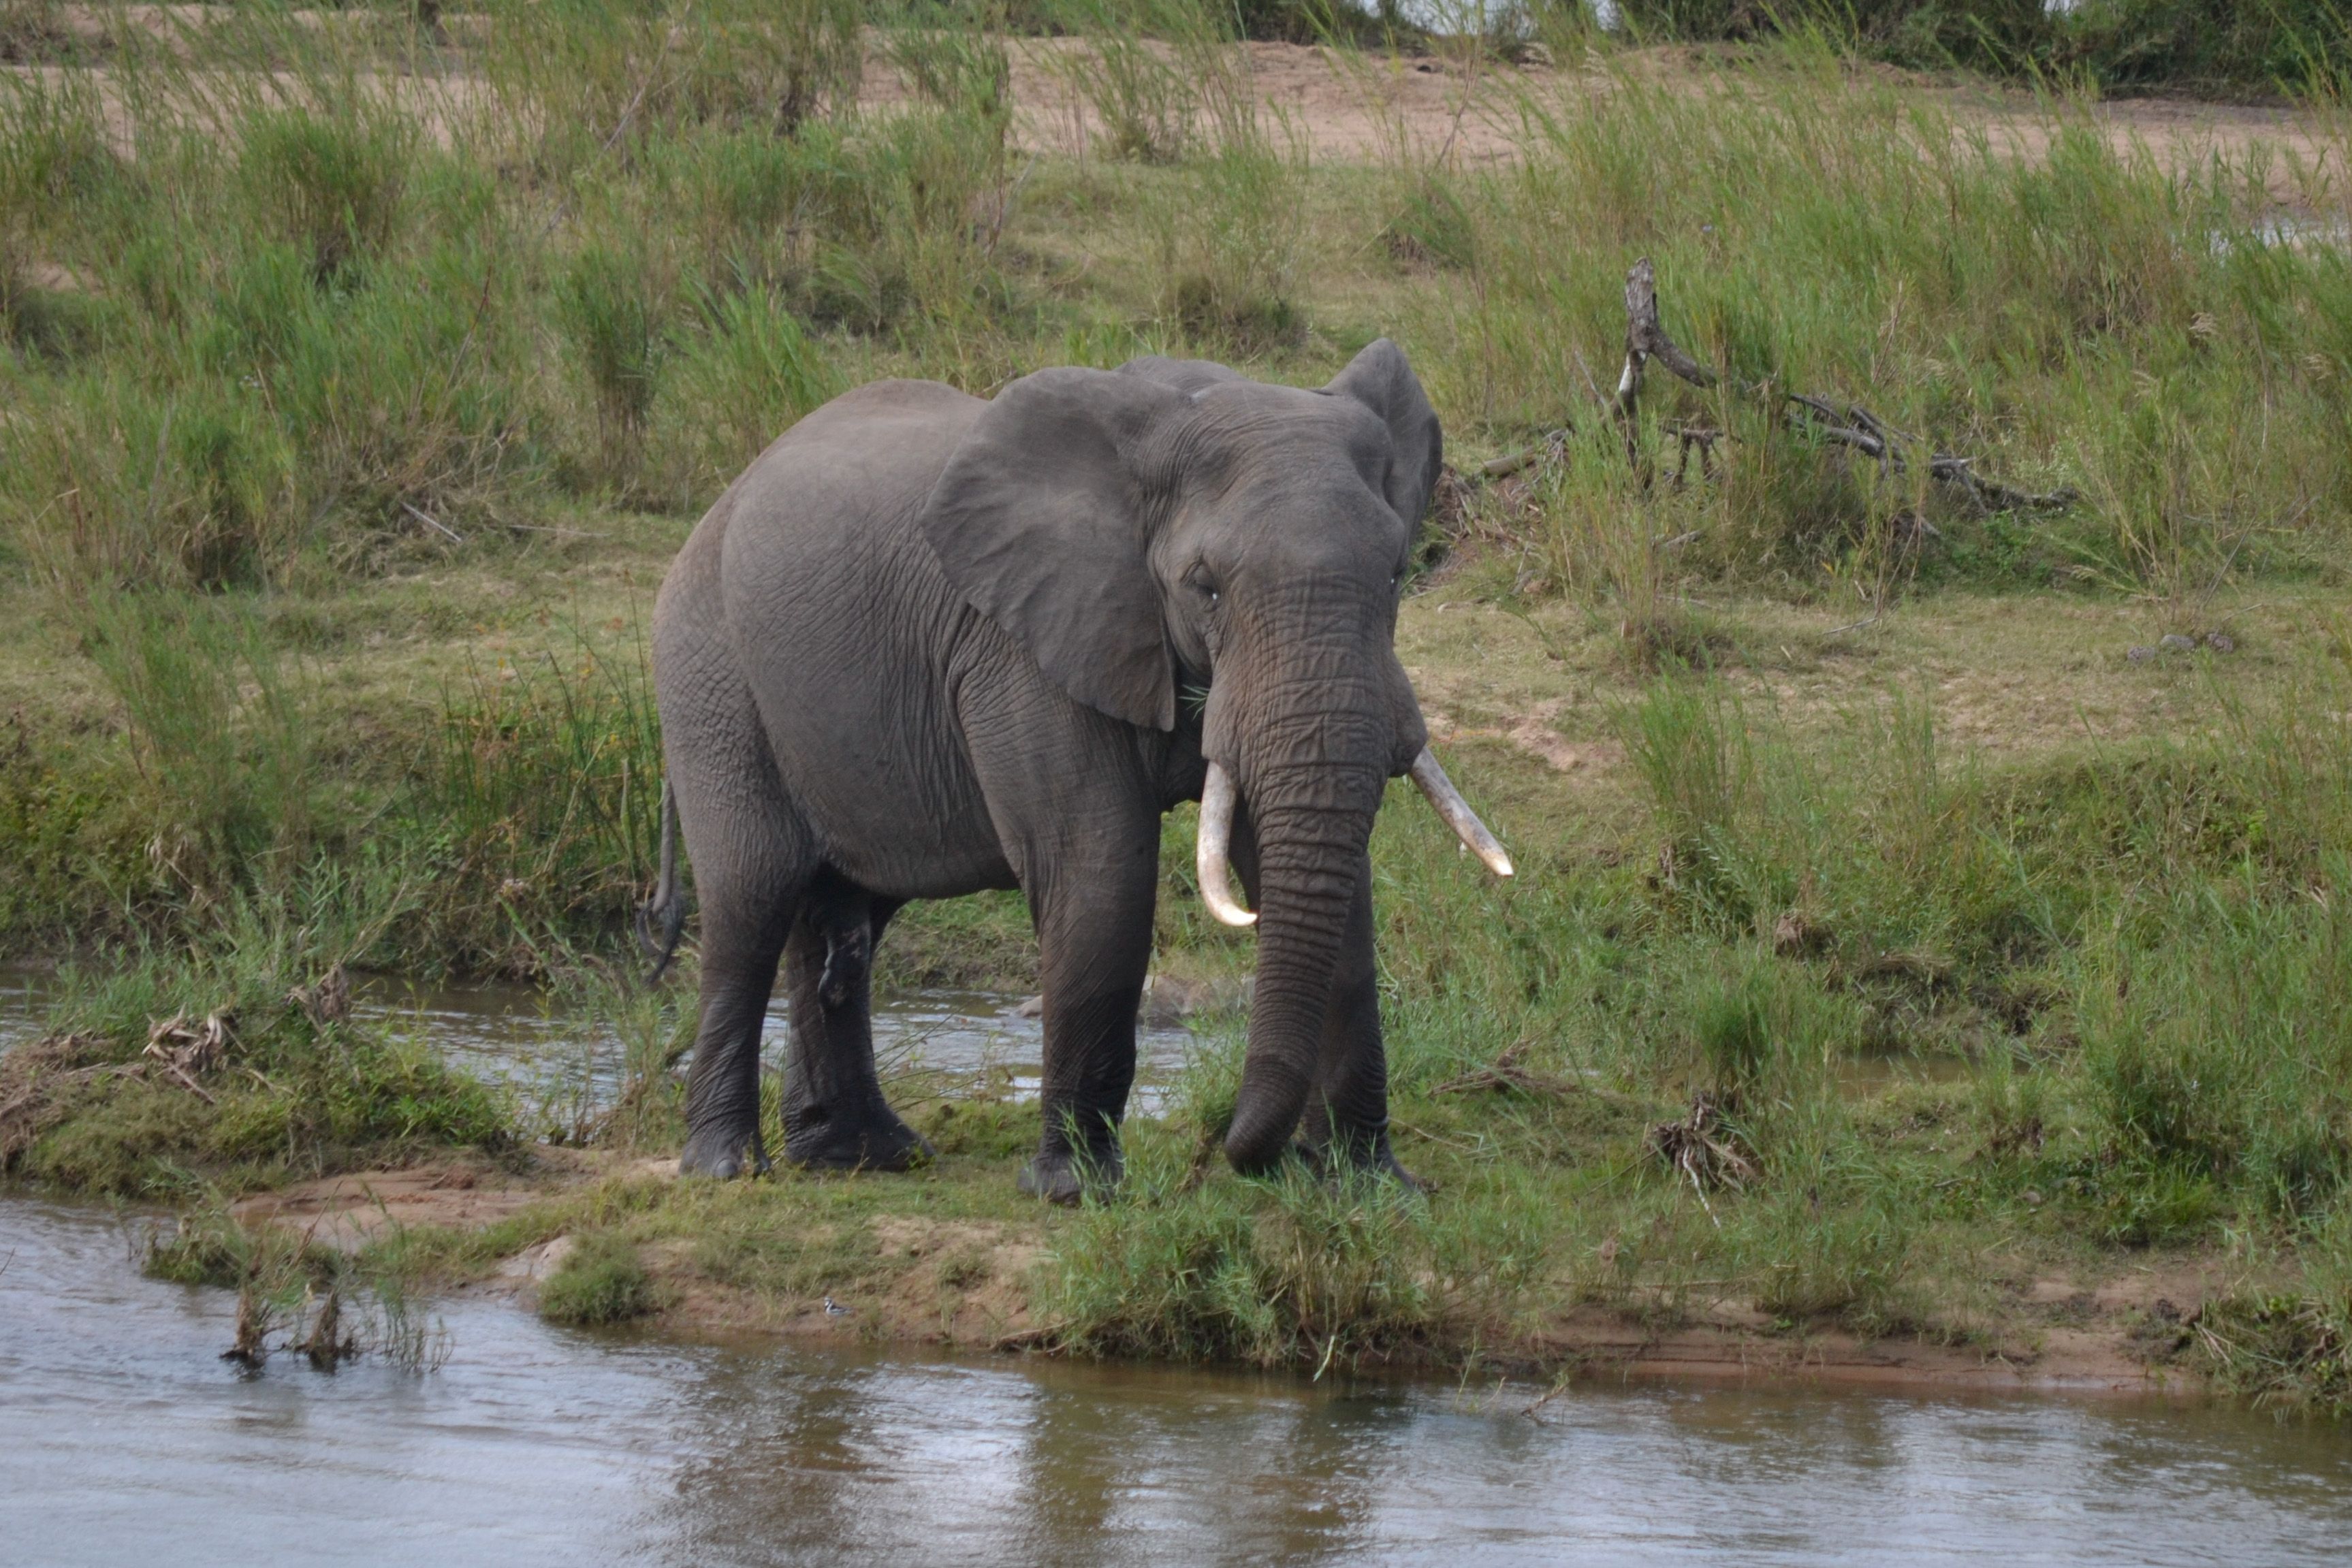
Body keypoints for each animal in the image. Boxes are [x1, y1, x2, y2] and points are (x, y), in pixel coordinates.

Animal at [642, 339, 1511, 1201]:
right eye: (1205, 586)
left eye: (1396, 572)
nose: (1241, 1152)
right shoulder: (1022, 649)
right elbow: (1100, 870)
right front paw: (1074, 1190)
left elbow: (1327, 887)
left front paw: (1371, 1186)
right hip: (708, 670)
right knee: (752, 898)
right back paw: (726, 1163)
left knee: (844, 917)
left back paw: (865, 1154)